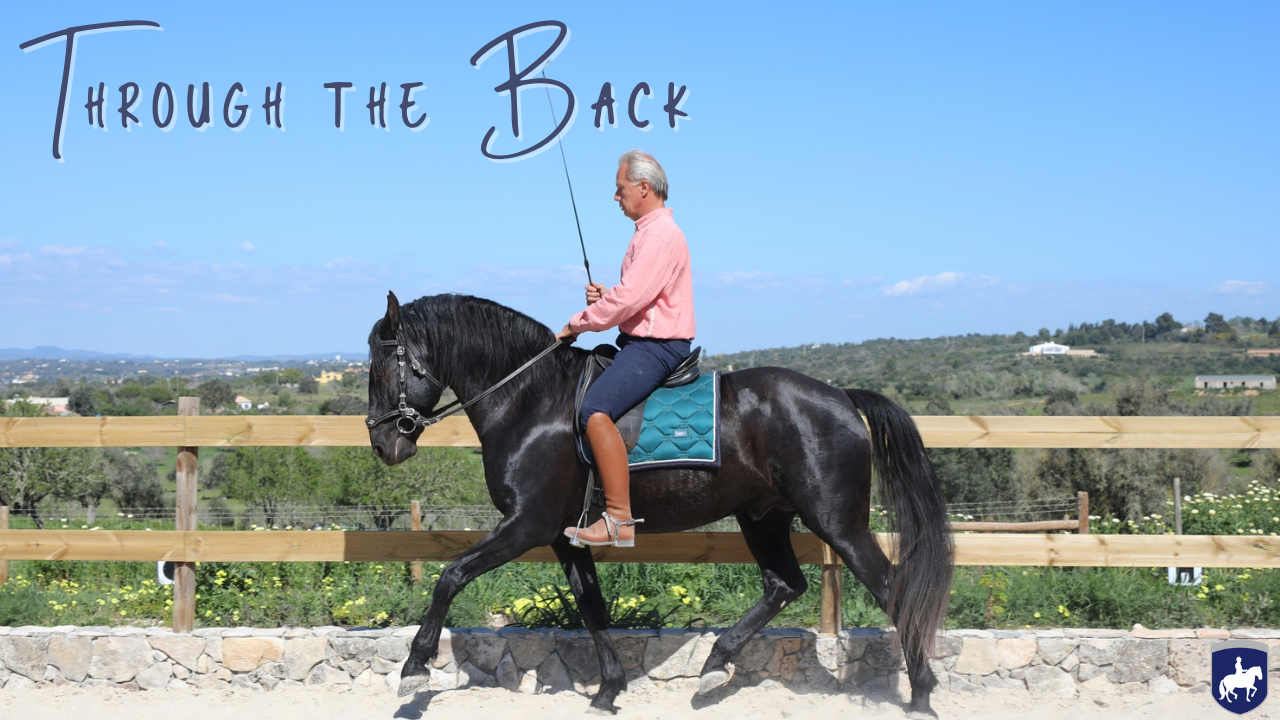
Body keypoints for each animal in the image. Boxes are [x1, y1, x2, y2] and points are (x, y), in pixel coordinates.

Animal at [366, 292, 954, 717]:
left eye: (383, 366)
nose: (384, 445)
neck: (531, 400)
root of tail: (841, 397)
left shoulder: (526, 525)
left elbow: (451, 576)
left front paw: (414, 669)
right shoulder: (564, 535)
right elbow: (591, 606)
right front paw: (608, 690)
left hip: (838, 523)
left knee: (892, 589)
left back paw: (923, 694)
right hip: (762, 516)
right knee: (784, 584)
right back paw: (716, 664)